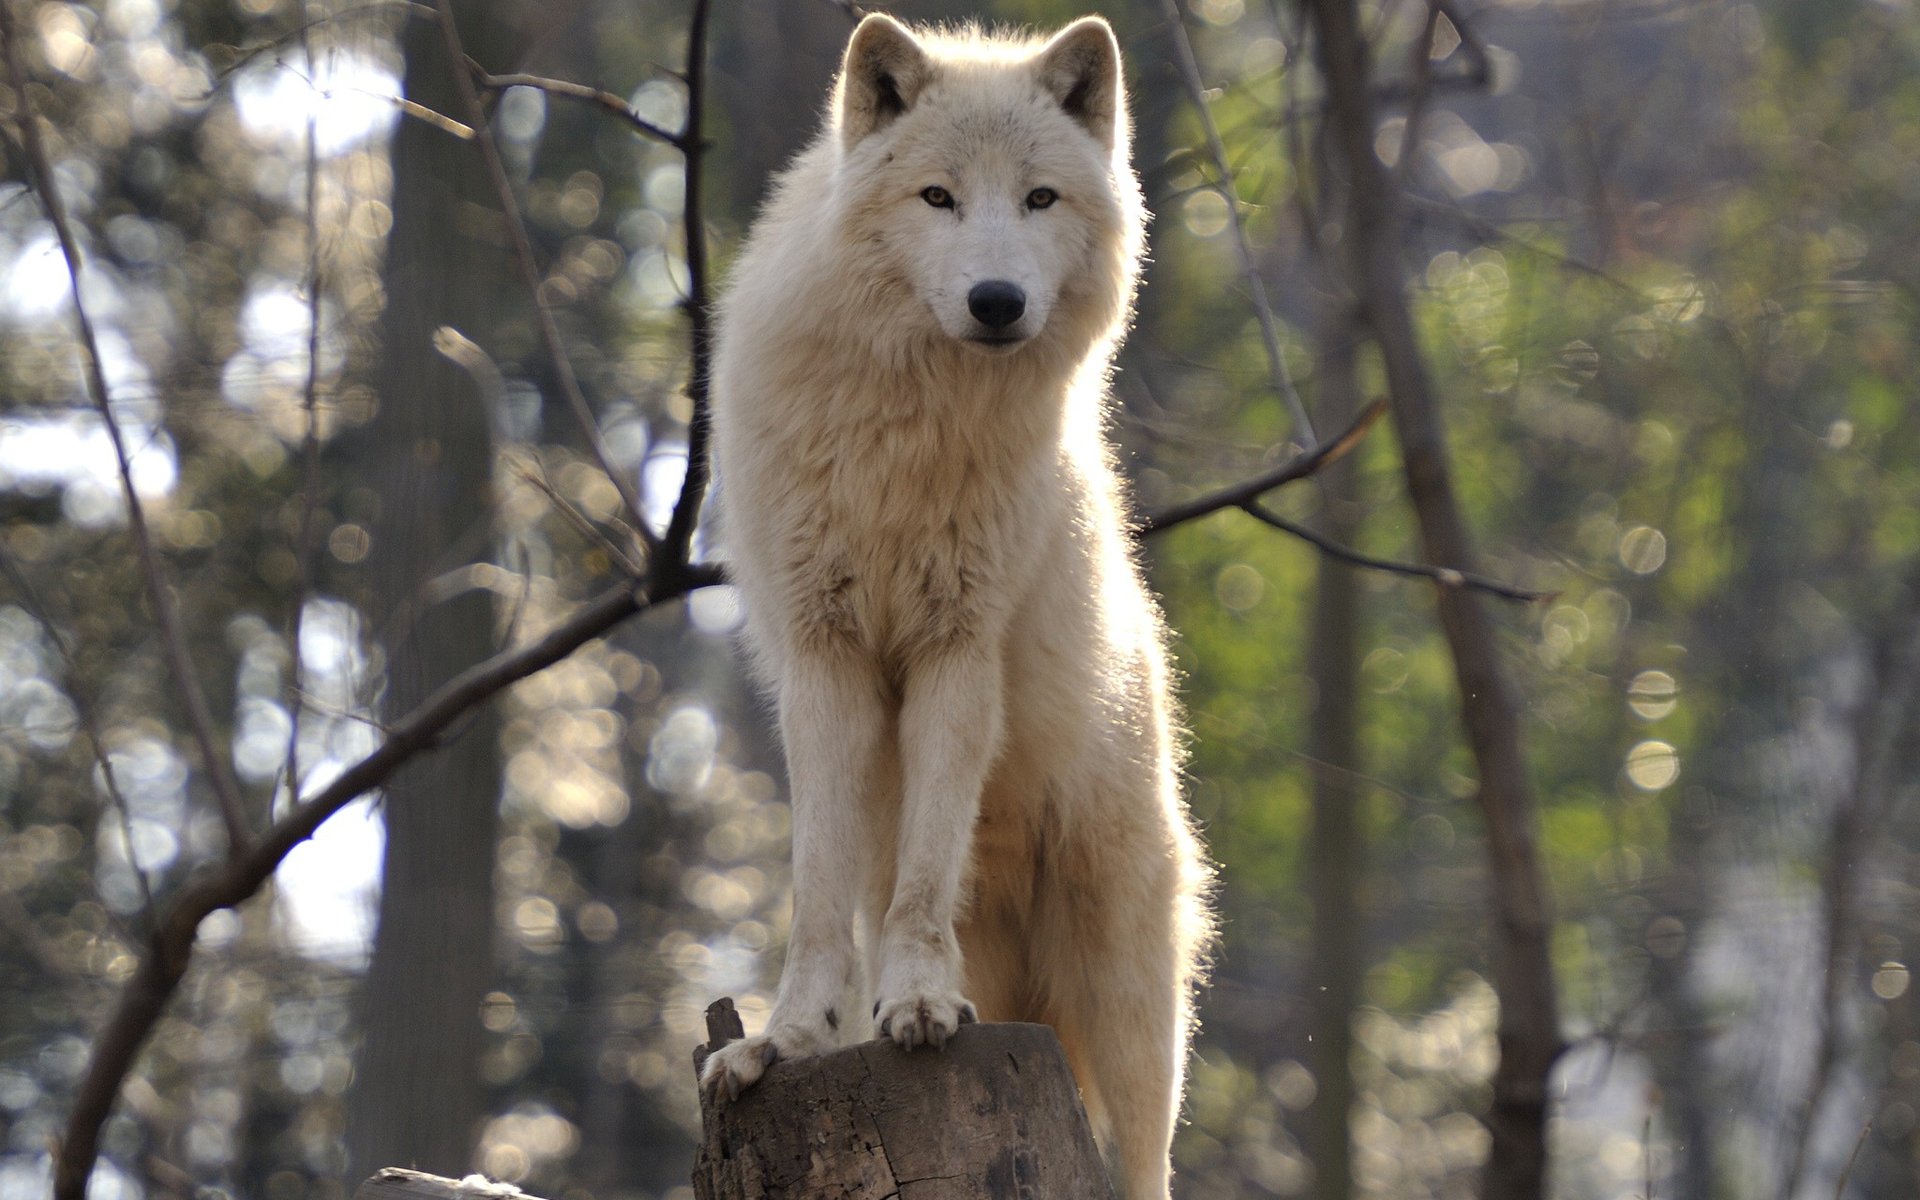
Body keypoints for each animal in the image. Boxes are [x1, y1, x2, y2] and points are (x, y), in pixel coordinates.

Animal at [699, 14, 1212, 1197]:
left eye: (1039, 200)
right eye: (936, 197)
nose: (996, 302)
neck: (911, 428)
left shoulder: (957, 651)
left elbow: (926, 875)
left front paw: (922, 1005)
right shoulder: (826, 658)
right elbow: (818, 889)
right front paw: (788, 1040)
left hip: (1130, 995)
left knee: (1146, 1157)